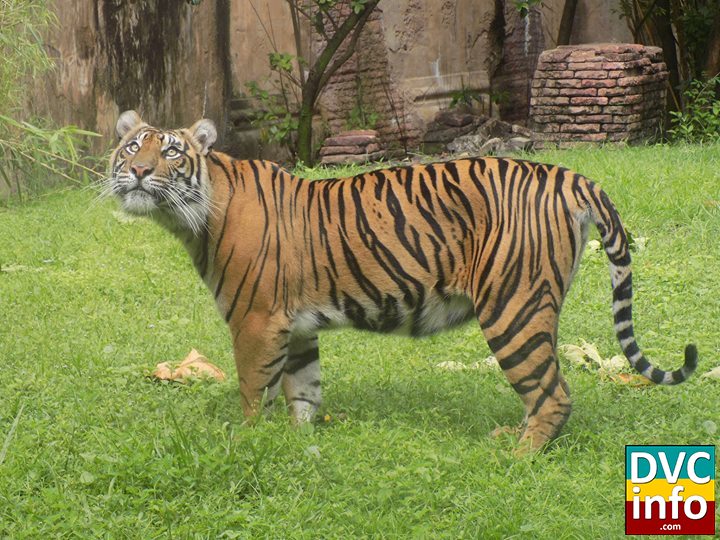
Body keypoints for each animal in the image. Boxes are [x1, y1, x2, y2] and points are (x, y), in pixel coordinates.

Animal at [107, 110, 698, 451]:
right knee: (543, 389)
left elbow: (256, 392)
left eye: (171, 150)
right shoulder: (296, 328)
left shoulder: (256, 322)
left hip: (513, 308)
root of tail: (566, 173)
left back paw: (517, 457)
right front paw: (299, 446)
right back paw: (513, 436)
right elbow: (304, 391)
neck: (190, 215)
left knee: (553, 394)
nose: (137, 172)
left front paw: (251, 445)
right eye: (133, 146)